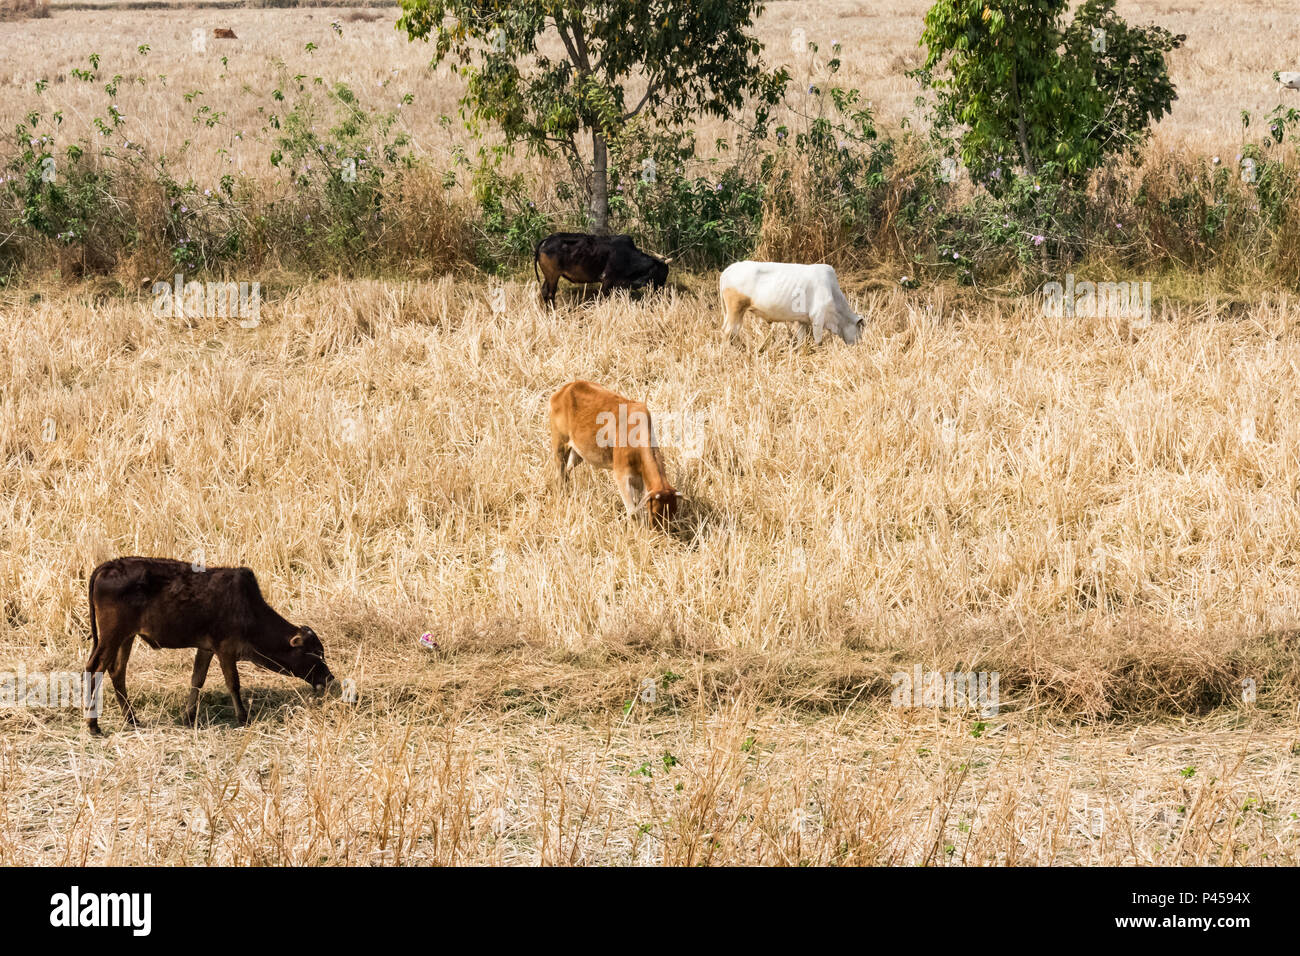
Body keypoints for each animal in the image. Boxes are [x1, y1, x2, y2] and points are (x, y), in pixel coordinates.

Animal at [83, 556, 333, 734]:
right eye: (314, 654)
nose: (329, 678)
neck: (247, 608)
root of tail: (107, 566)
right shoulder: (225, 649)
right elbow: (233, 683)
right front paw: (243, 717)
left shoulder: (206, 649)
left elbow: (197, 680)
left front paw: (189, 716)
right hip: (112, 635)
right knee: (95, 669)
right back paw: (94, 725)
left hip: (127, 637)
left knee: (117, 672)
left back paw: (132, 719)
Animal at [534, 233, 670, 306]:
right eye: (663, 273)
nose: (661, 290)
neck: (629, 256)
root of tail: (546, 240)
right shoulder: (607, 280)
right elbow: (602, 298)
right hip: (553, 276)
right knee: (550, 294)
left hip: (549, 276)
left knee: (543, 292)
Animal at [549, 380, 679, 529]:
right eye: (655, 513)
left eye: (673, 513)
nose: (661, 532)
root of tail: (565, 389)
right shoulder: (621, 475)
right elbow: (633, 513)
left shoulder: (638, 478)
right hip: (559, 446)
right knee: (559, 475)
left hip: (577, 453)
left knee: (566, 472)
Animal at [718, 261, 865, 345]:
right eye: (859, 329)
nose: (859, 345)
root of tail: (727, 270)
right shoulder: (818, 319)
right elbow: (818, 342)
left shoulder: (802, 321)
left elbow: (801, 341)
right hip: (736, 309)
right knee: (728, 331)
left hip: (736, 312)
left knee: (733, 331)